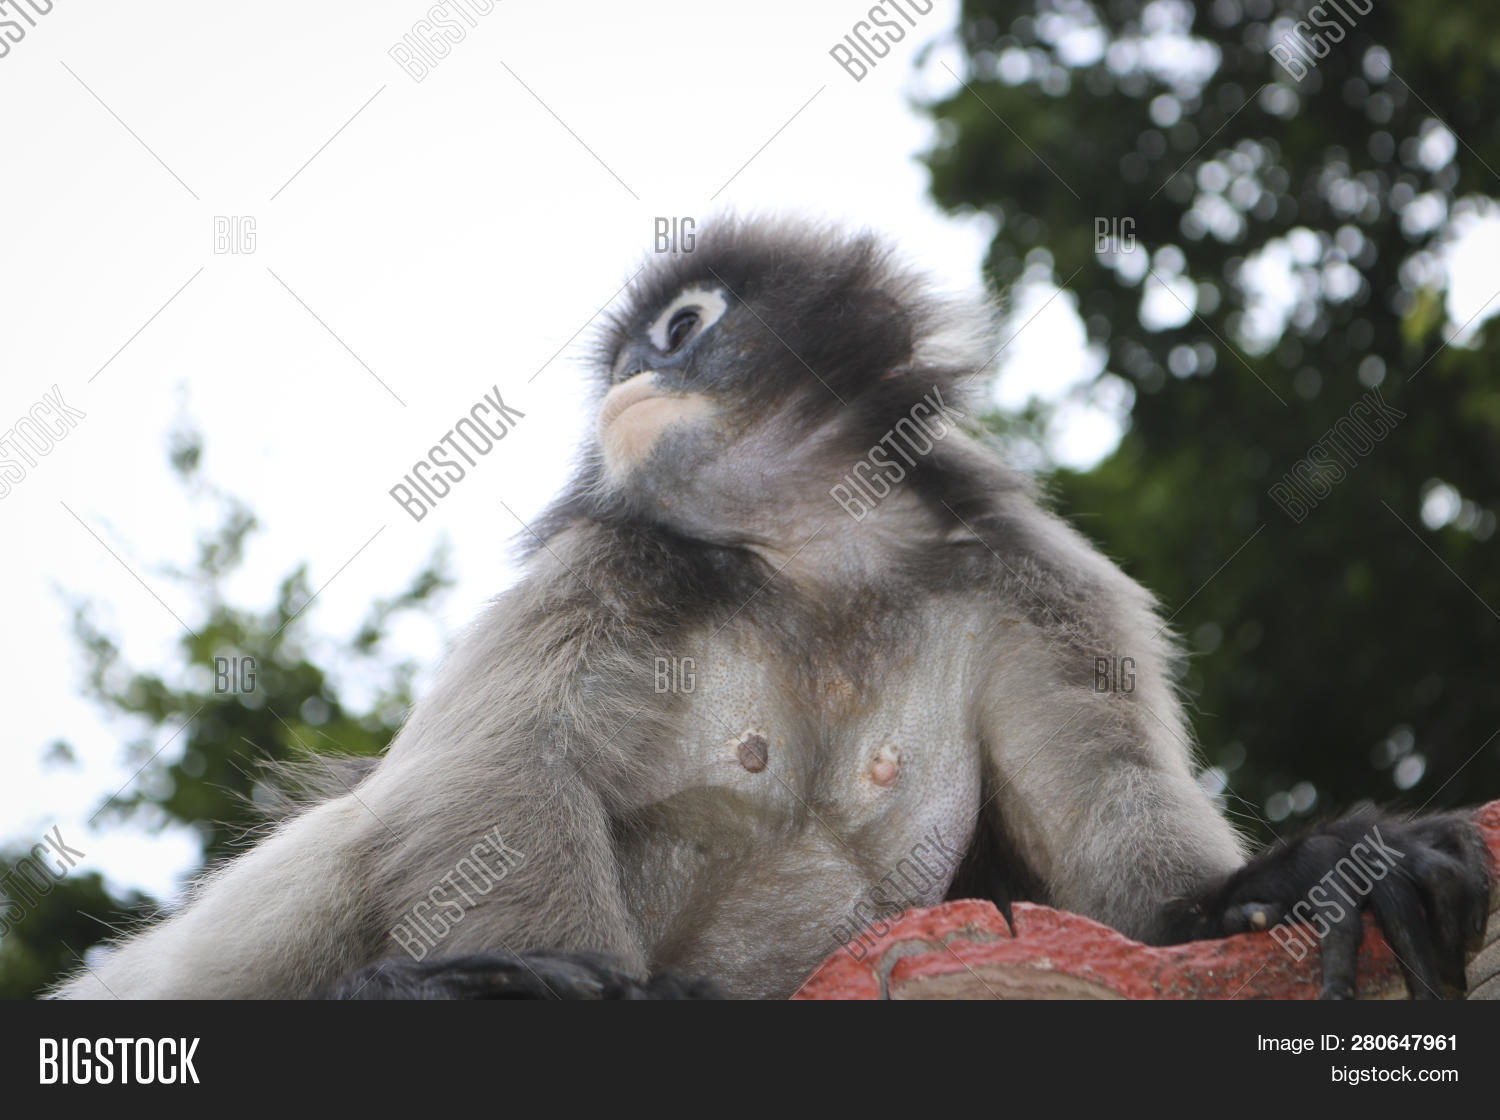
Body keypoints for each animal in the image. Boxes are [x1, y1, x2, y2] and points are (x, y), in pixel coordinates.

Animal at [56, 217, 1492, 1001]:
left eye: (684, 326)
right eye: (633, 351)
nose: (629, 380)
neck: (816, 554)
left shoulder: (1035, 578)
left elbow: (1130, 894)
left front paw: (1308, 876)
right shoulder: (610, 562)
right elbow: (491, 788)